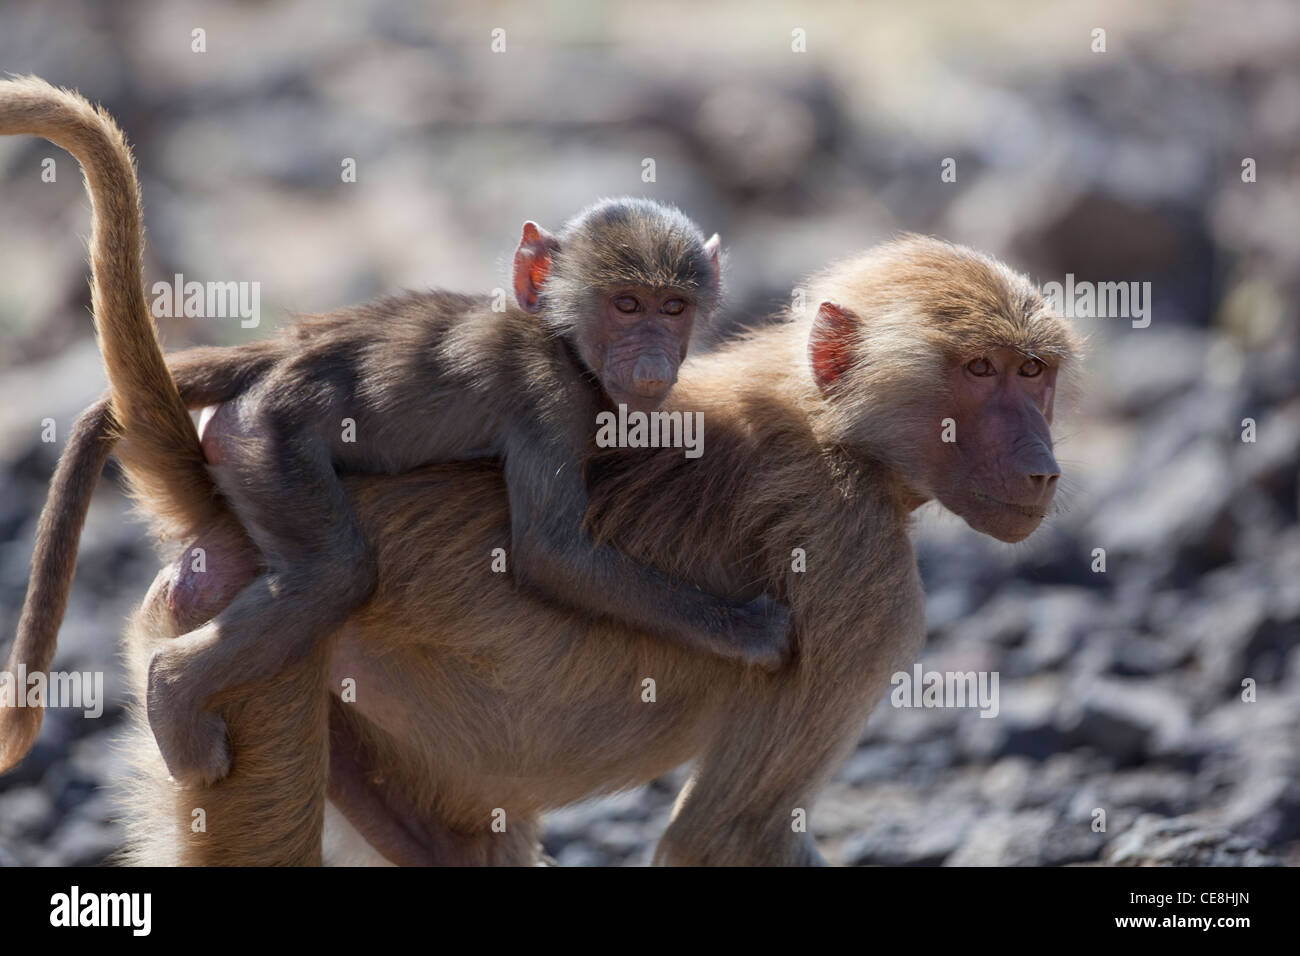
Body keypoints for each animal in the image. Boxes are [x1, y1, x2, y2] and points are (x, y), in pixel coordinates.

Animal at [0, 77, 791, 789]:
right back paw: (174, 691)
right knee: (334, 570)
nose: (654, 359)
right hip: (261, 442)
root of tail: (284, 353)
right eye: (627, 305)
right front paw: (746, 630)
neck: (563, 341)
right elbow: (552, 554)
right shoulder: (547, 396)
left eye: (673, 308)